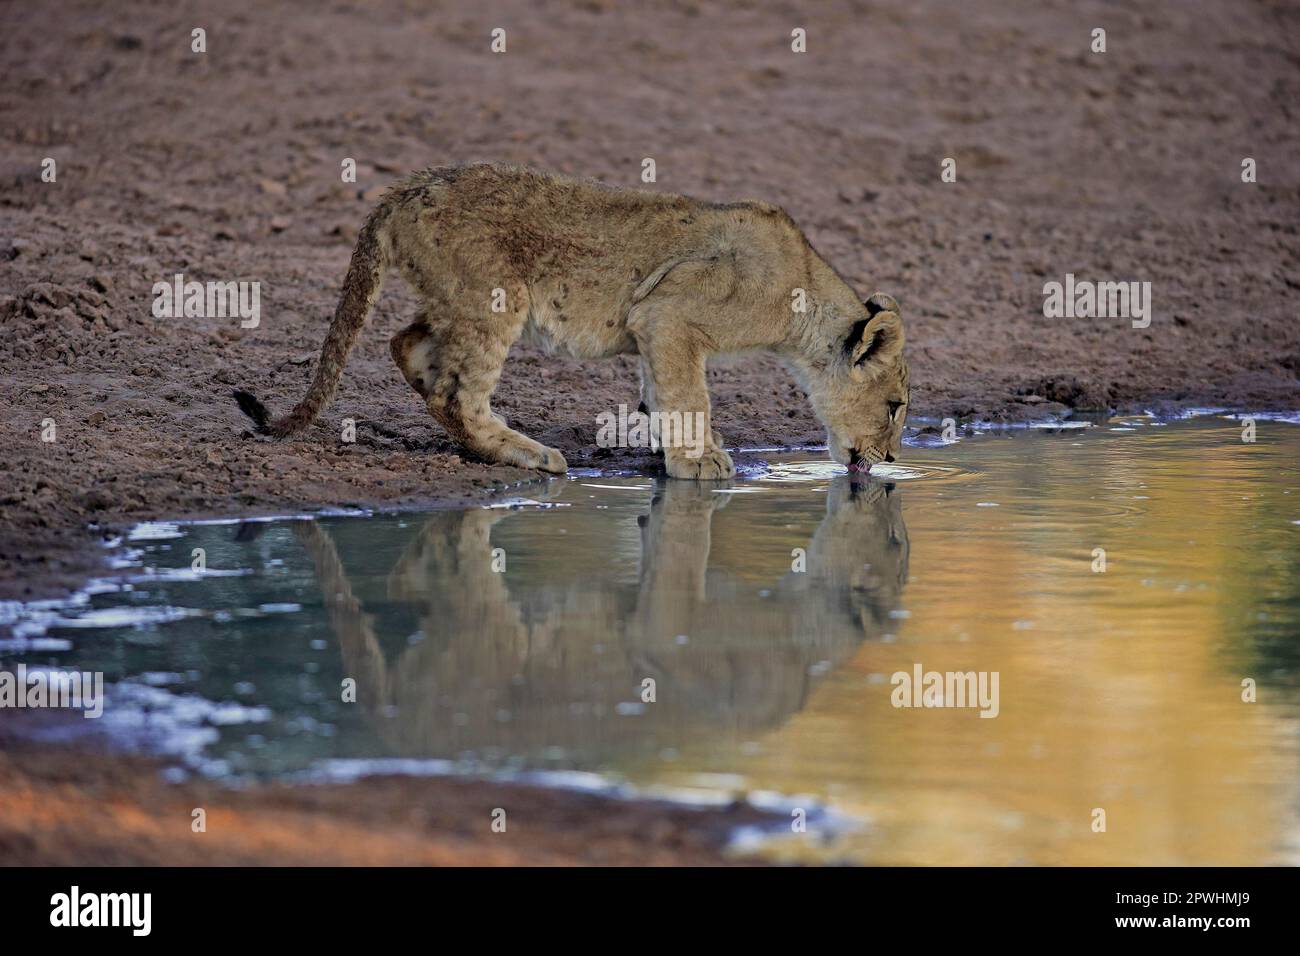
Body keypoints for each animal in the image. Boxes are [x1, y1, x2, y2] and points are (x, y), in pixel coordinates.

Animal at [234, 163, 909, 479]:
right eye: (897, 407)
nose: (892, 459)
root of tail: (408, 187)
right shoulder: (670, 313)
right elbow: (689, 393)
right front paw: (699, 462)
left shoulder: (654, 325)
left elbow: (662, 393)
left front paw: (673, 447)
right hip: (495, 299)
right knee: (457, 391)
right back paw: (525, 452)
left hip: (454, 300)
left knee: (407, 344)